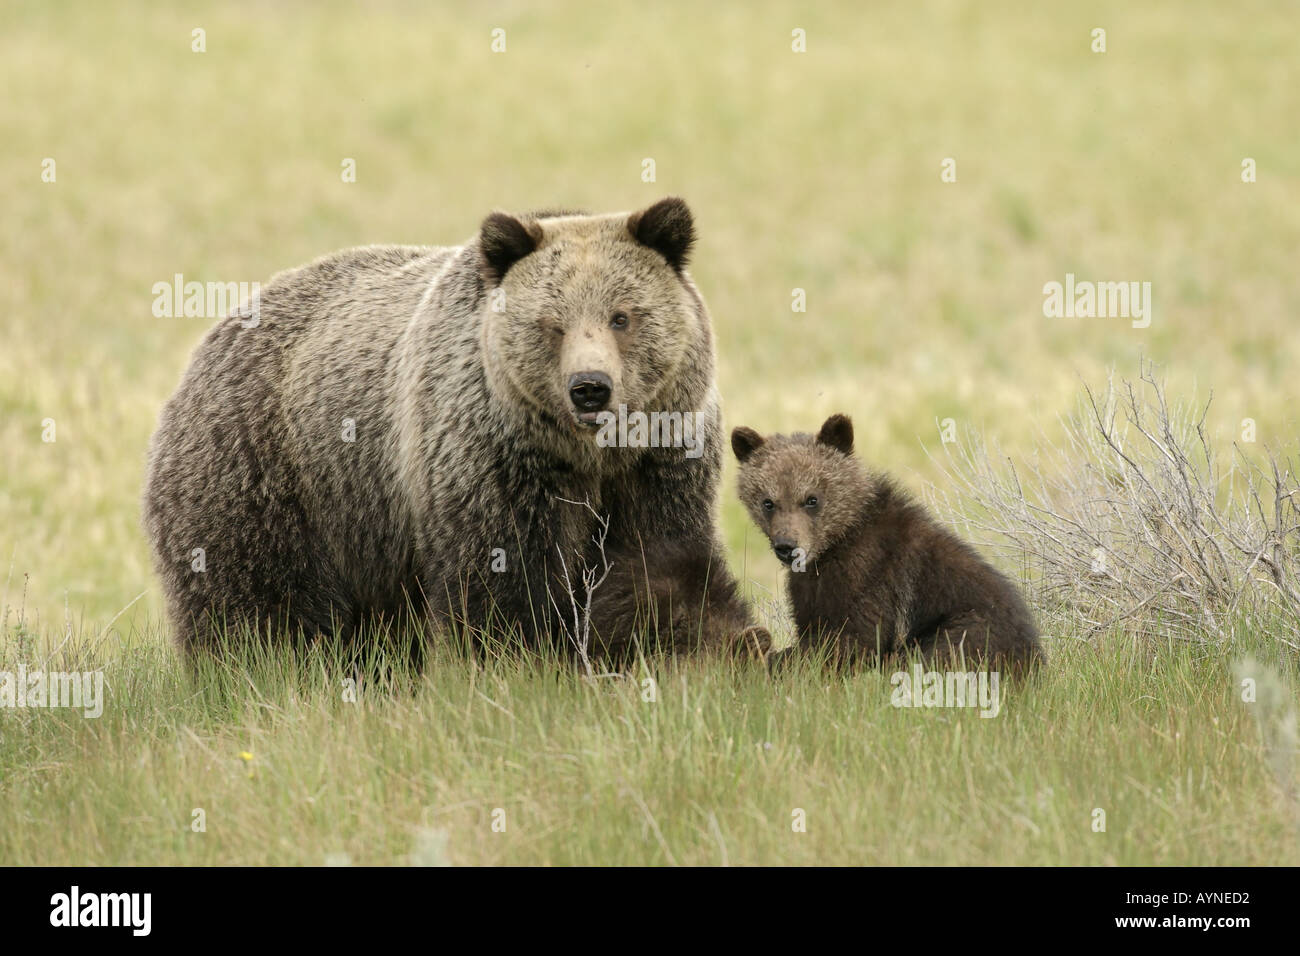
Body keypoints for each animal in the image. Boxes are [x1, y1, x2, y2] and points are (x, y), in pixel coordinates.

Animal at [143, 197, 767, 665]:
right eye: (552, 323)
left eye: (622, 316)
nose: (590, 387)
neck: (585, 456)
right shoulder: (487, 457)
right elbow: (502, 582)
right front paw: (533, 662)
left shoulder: (659, 461)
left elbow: (658, 565)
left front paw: (725, 642)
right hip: (269, 479)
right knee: (256, 609)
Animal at [730, 413, 1042, 674]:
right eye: (768, 502)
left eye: (811, 498)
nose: (787, 546)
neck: (837, 542)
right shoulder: (812, 591)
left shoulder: (872, 576)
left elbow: (854, 638)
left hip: (972, 625)